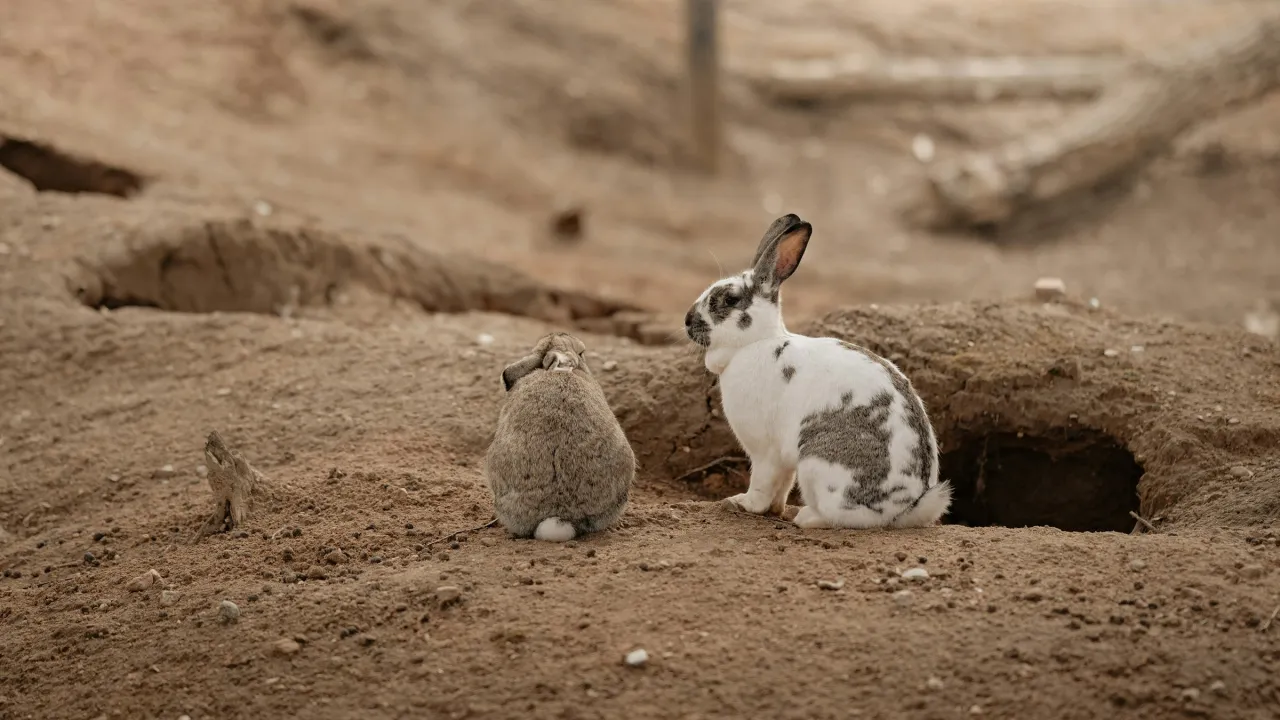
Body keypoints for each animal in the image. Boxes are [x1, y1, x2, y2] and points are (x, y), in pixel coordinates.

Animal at [683, 213, 952, 530]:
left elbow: (761, 483)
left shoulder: (765, 452)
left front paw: (743, 504)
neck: (754, 343)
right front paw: (775, 509)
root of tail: (906, 507)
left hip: (818, 465)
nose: (687, 321)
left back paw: (806, 516)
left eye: (730, 300)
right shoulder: (783, 461)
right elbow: (783, 484)